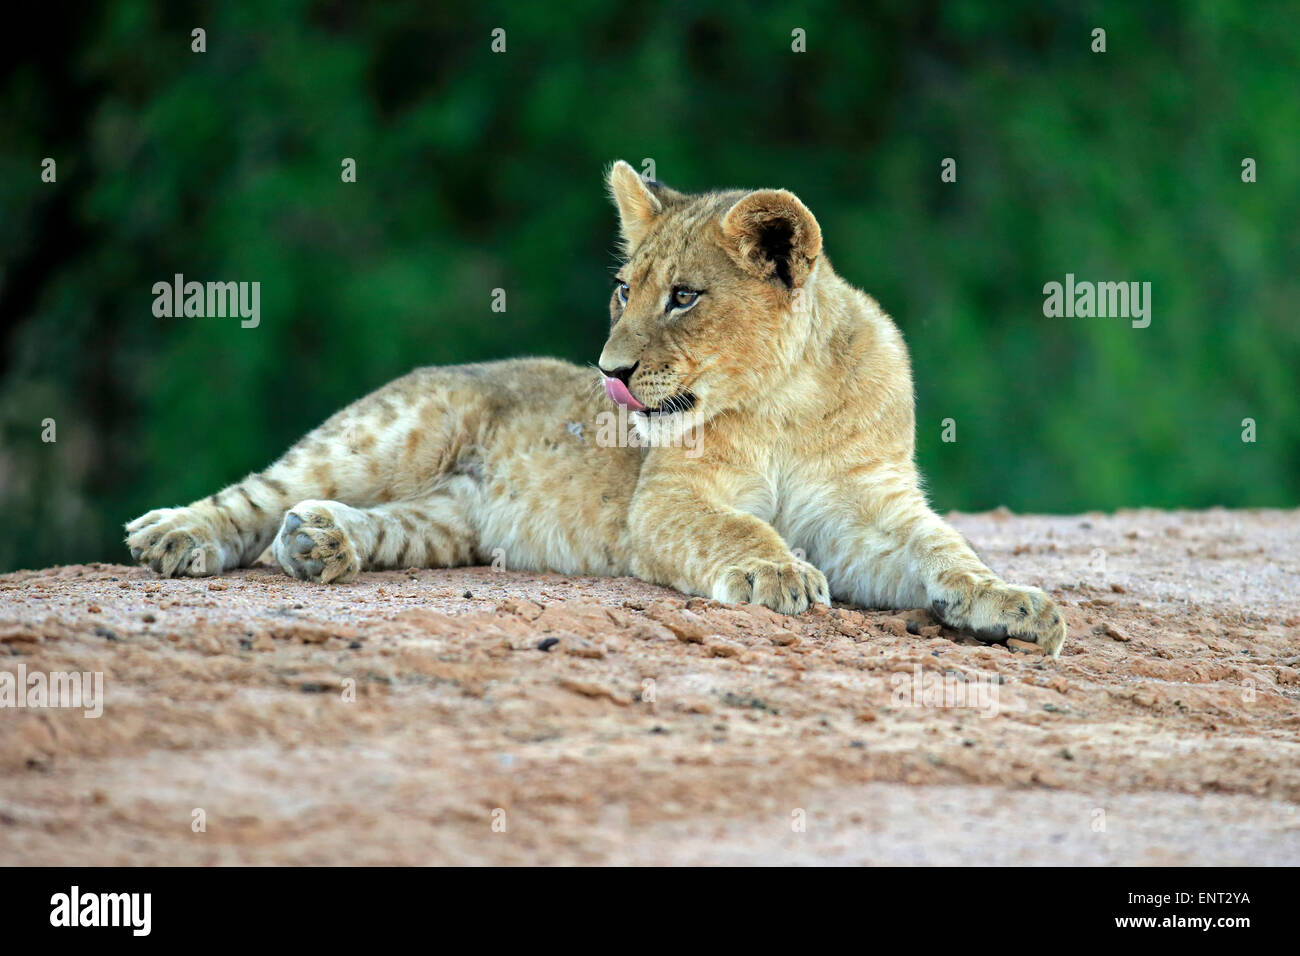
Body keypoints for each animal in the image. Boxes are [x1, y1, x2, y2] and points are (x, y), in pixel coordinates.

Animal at [126, 160, 1066, 656]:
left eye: (684, 296)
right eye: (625, 289)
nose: (610, 373)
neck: (783, 399)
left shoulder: (869, 507)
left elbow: (947, 551)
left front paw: (1014, 603)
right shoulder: (671, 500)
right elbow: (741, 528)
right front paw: (778, 574)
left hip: (450, 518)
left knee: (381, 523)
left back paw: (321, 543)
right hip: (393, 431)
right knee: (259, 492)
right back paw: (175, 535)